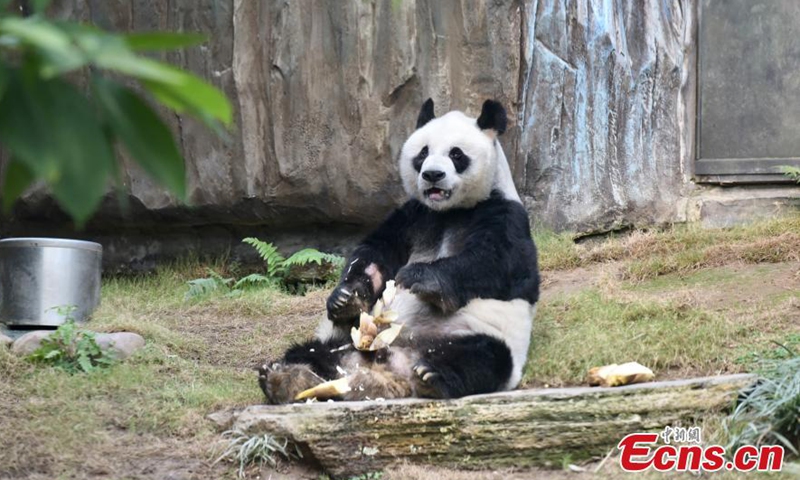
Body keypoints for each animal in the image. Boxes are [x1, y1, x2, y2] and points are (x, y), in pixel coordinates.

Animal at [259, 98, 539, 403]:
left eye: (456, 154)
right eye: (423, 152)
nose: (432, 174)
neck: (449, 212)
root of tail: (395, 371)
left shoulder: (504, 214)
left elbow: (500, 264)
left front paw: (419, 277)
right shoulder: (413, 216)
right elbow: (375, 254)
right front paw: (345, 300)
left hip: (475, 334)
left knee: (483, 358)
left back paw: (433, 376)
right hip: (342, 341)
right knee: (308, 351)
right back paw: (285, 378)